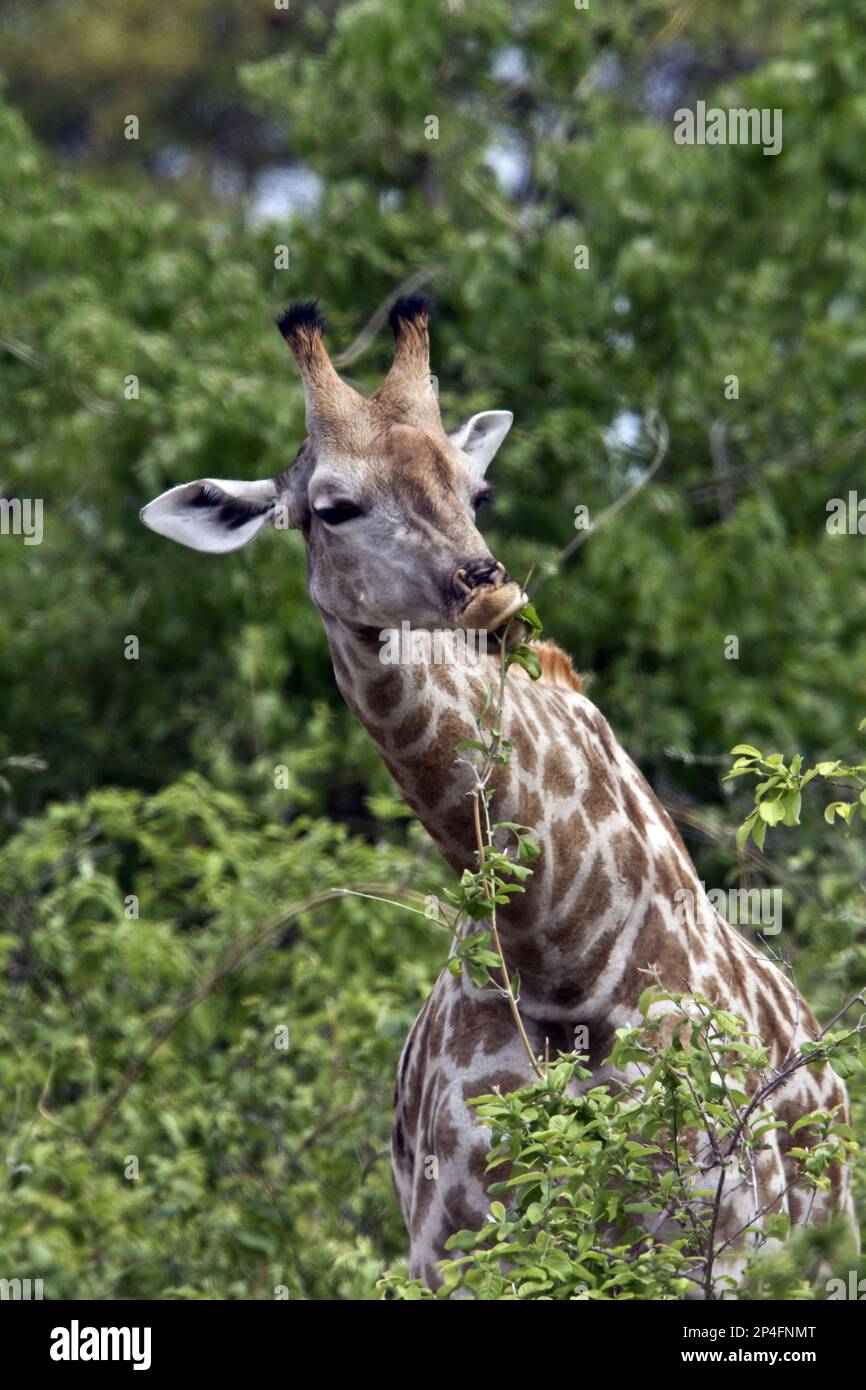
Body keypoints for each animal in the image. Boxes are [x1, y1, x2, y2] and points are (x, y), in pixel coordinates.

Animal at [140, 296, 856, 1291]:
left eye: (473, 492)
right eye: (333, 507)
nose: (489, 591)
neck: (562, 953)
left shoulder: (717, 1238)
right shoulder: (455, 1248)